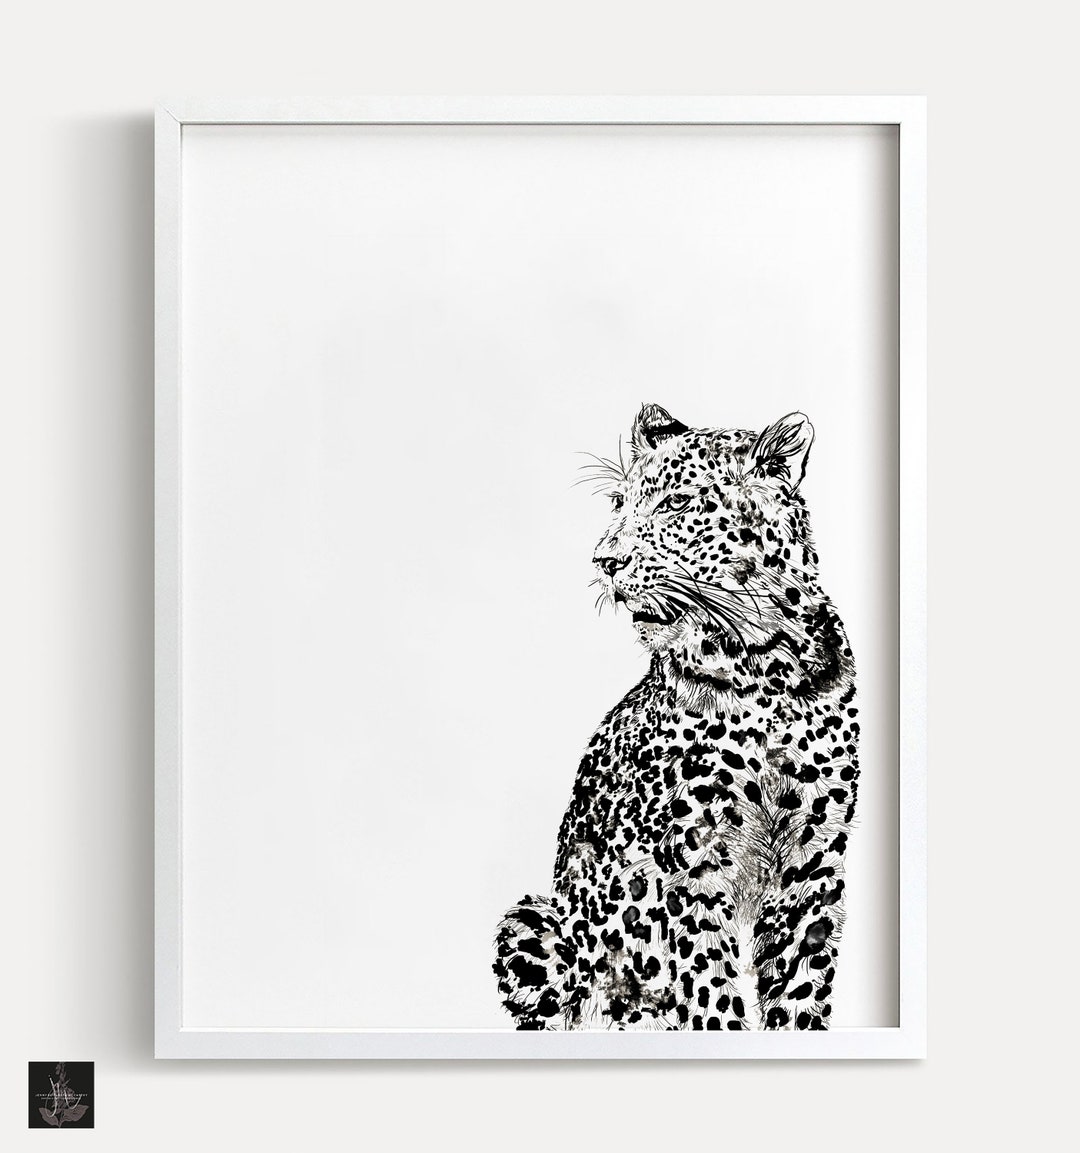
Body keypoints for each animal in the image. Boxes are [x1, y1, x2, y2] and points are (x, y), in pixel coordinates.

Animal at [494, 403, 859, 1030]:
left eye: (677, 504)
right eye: (619, 502)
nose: (605, 561)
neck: (763, 670)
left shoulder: (814, 862)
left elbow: (802, 985)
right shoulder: (684, 865)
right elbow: (710, 987)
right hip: (532, 925)